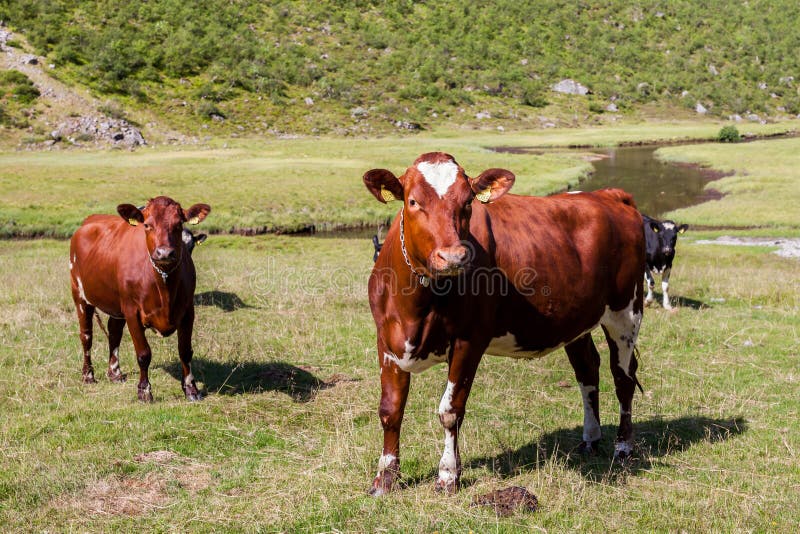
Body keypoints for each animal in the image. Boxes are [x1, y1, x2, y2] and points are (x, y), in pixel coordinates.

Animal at [69, 196, 211, 402]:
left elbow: (185, 351)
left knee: (114, 332)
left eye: (178, 224)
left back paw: (115, 373)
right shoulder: (132, 311)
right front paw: (144, 391)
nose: (164, 253)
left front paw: (191, 390)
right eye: (147, 225)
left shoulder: (187, 310)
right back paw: (88, 375)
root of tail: (89, 221)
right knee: (86, 336)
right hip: (80, 296)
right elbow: (143, 354)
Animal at [363, 152, 645, 495]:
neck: (417, 305)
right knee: (588, 369)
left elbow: (450, 410)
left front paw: (448, 476)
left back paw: (623, 446)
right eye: (413, 201)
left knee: (623, 377)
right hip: (577, 320)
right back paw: (590, 439)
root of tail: (608, 195)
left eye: (468, 202)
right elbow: (390, 410)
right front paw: (385, 478)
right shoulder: (386, 340)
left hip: (626, 311)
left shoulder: (469, 340)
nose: (453, 257)